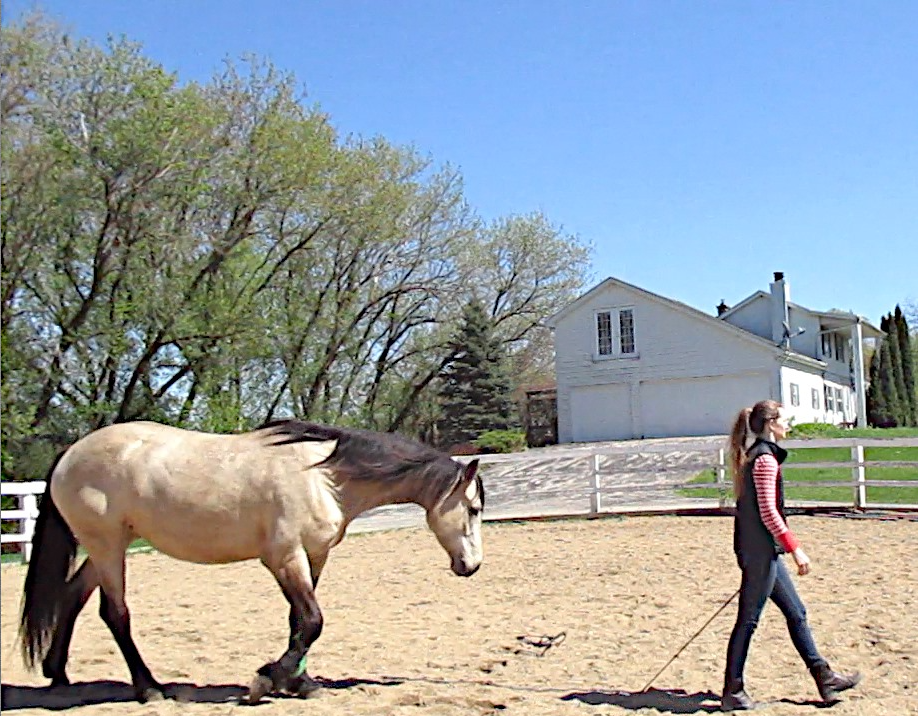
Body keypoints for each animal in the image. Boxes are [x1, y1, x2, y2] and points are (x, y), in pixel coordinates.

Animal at [18, 418, 483, 704]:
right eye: (475, 508)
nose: (472, 566)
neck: (323, 477)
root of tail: (69, 455)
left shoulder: (312, 557)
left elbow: (300, 623)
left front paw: (300, 683)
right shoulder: (284, 557)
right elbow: (312, 621)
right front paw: (267, 680)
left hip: (105, 548)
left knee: (73, 597)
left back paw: (57, 673)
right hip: (107, 546)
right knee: (115, 614)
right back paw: (149, 689)